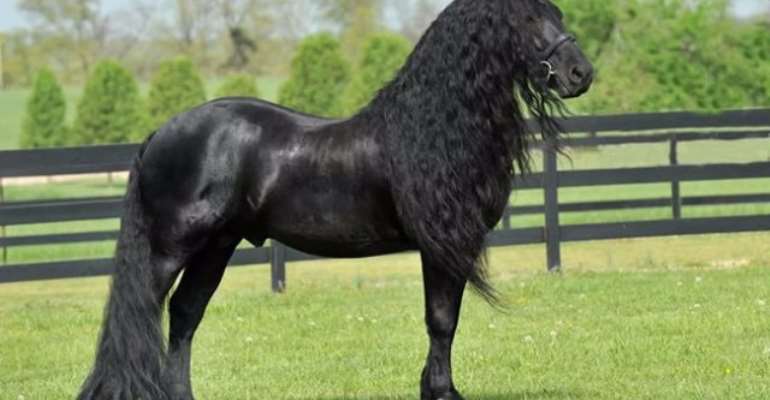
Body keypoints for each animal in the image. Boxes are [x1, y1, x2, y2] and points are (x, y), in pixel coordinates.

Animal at [77, 0, 593, 399]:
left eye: (557, 12)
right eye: (528, 18)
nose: (580, 73)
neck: (430, 130)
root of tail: (160, 133)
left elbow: (445, 321)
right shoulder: (441, 248)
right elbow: (442, 319)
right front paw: (443, 392)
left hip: (216, 247)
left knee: (185, 315)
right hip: (171, 248)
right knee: (140, 314)